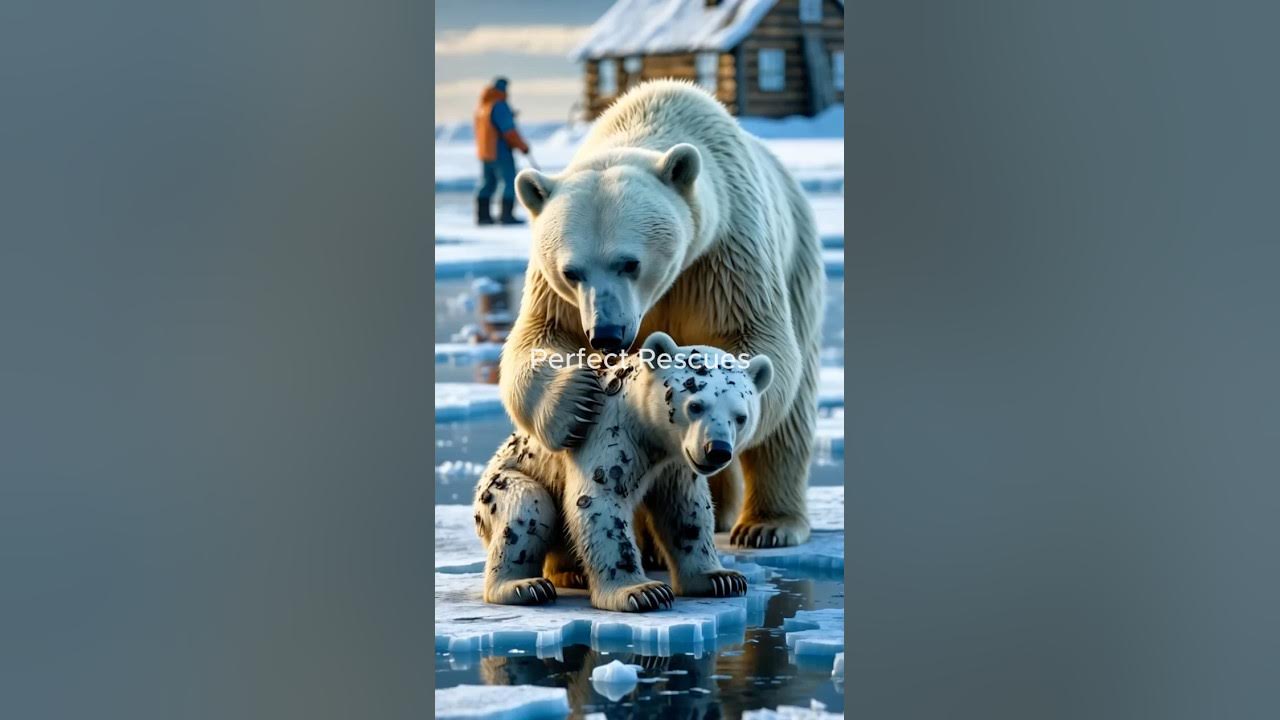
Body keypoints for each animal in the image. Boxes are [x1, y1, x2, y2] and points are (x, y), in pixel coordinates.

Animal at [473, 332, 774, 612]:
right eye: (695, 405)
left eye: (741, 417)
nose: (717, 450)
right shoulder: (611, 433)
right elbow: (599, 502)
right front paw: (643, 591)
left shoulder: (674, 461)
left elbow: (686, 509)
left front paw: (721, 578)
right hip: (504, 481)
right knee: (528, 508)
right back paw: (525, 586)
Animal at [501, 79, 823, 548]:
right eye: (571, 271)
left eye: (630, 263)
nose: (607, 334)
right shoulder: (557, 292)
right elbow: (539, 338)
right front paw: (576, 404)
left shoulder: (724, 256)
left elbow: (752, 336)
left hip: (798, 262)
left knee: (791, 415)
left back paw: (767, 524)